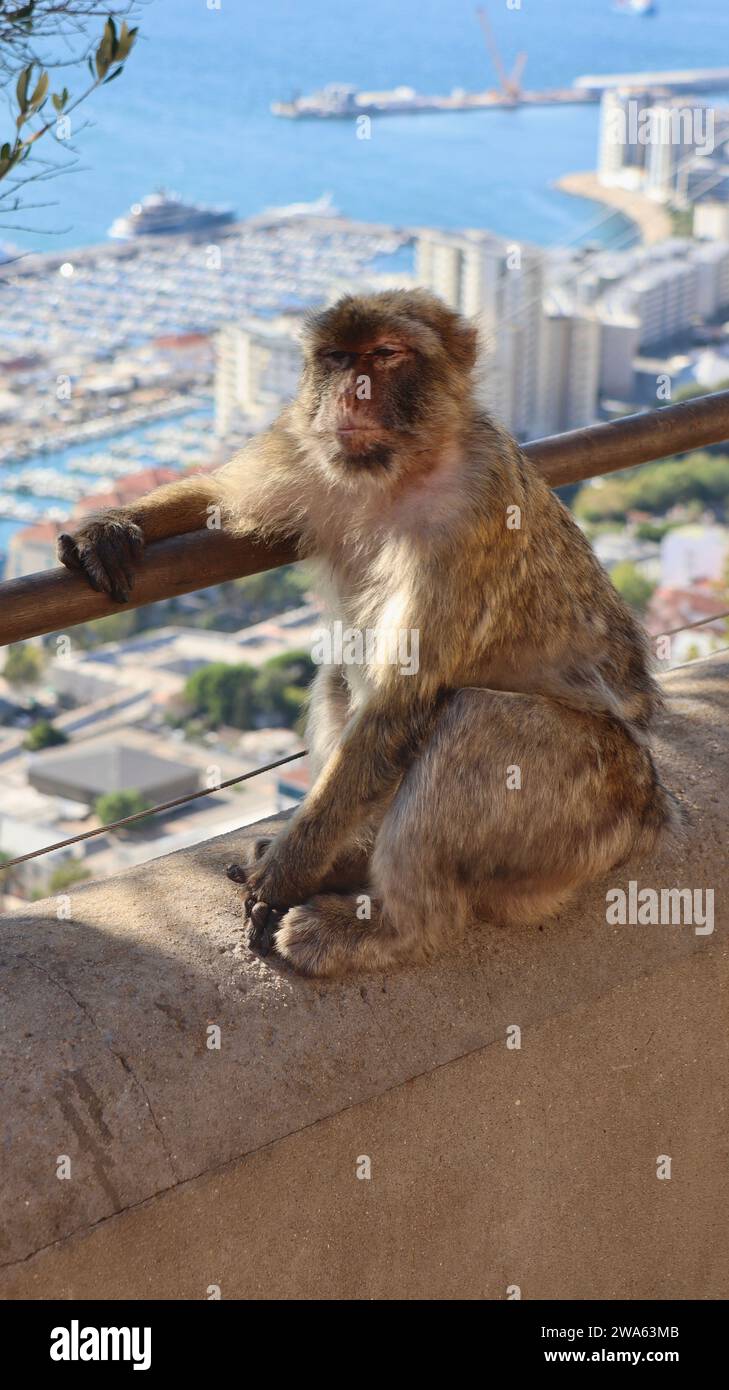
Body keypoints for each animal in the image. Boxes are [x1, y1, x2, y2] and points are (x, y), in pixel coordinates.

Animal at [58, 288, 680, 977]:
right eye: (336, 357)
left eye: (385, 354)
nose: (351, 394)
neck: (398, 475)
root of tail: (650, 814)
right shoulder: (302, 447)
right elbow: (218, 500)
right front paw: (113, 528)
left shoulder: (474, 512)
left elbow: (398, 703)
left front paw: (284, 877)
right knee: (341, 674)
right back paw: (351, 860)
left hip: (589, 807)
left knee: (475, 720)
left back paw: (389, 925)